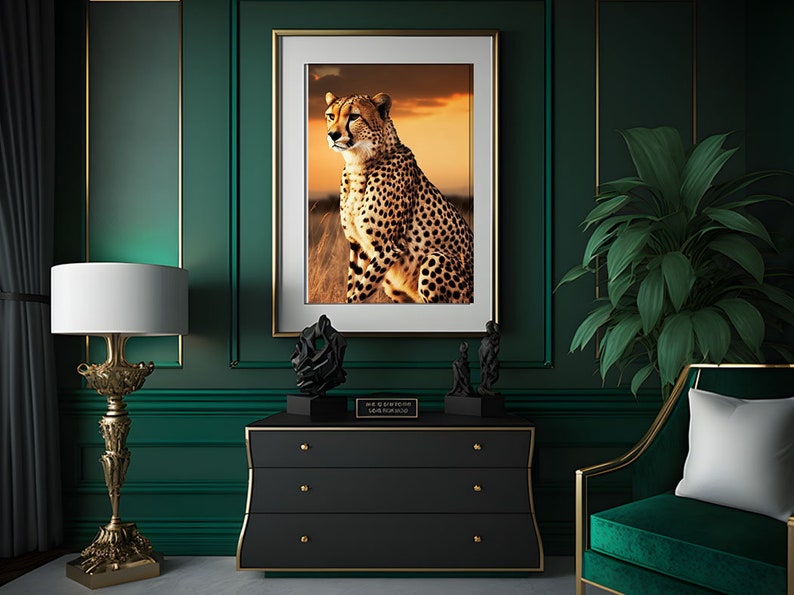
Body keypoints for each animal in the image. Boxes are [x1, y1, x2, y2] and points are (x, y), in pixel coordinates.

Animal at [324, 91, 474, 304]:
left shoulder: (388, 248)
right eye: (331, 116)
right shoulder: (357, 244)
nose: (333, 135)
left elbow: (359, 292)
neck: (358, 165)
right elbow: (353, 288)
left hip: (435, 259)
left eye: (354, 116)